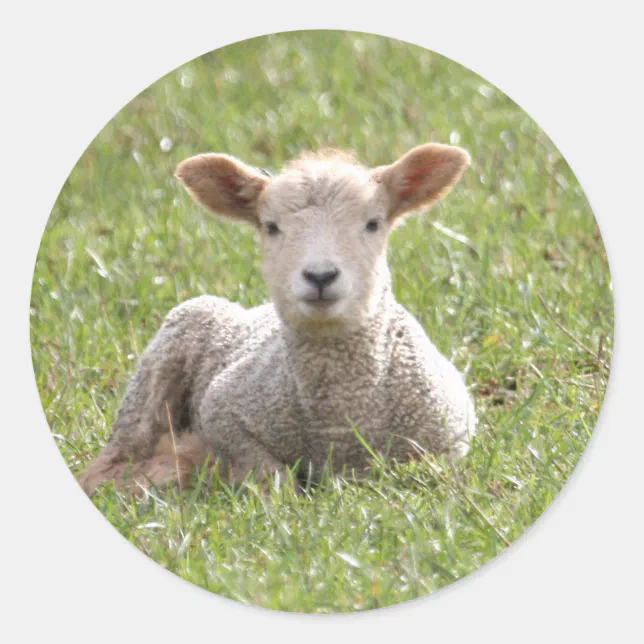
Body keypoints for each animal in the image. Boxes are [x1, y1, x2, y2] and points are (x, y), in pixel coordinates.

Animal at [77, 143, 477, 496]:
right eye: (270, 226)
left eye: (373, 223)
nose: (320, 276)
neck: (339, 421)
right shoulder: (224, 409)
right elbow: (272, 479)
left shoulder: (447, 441)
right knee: (109, 463)